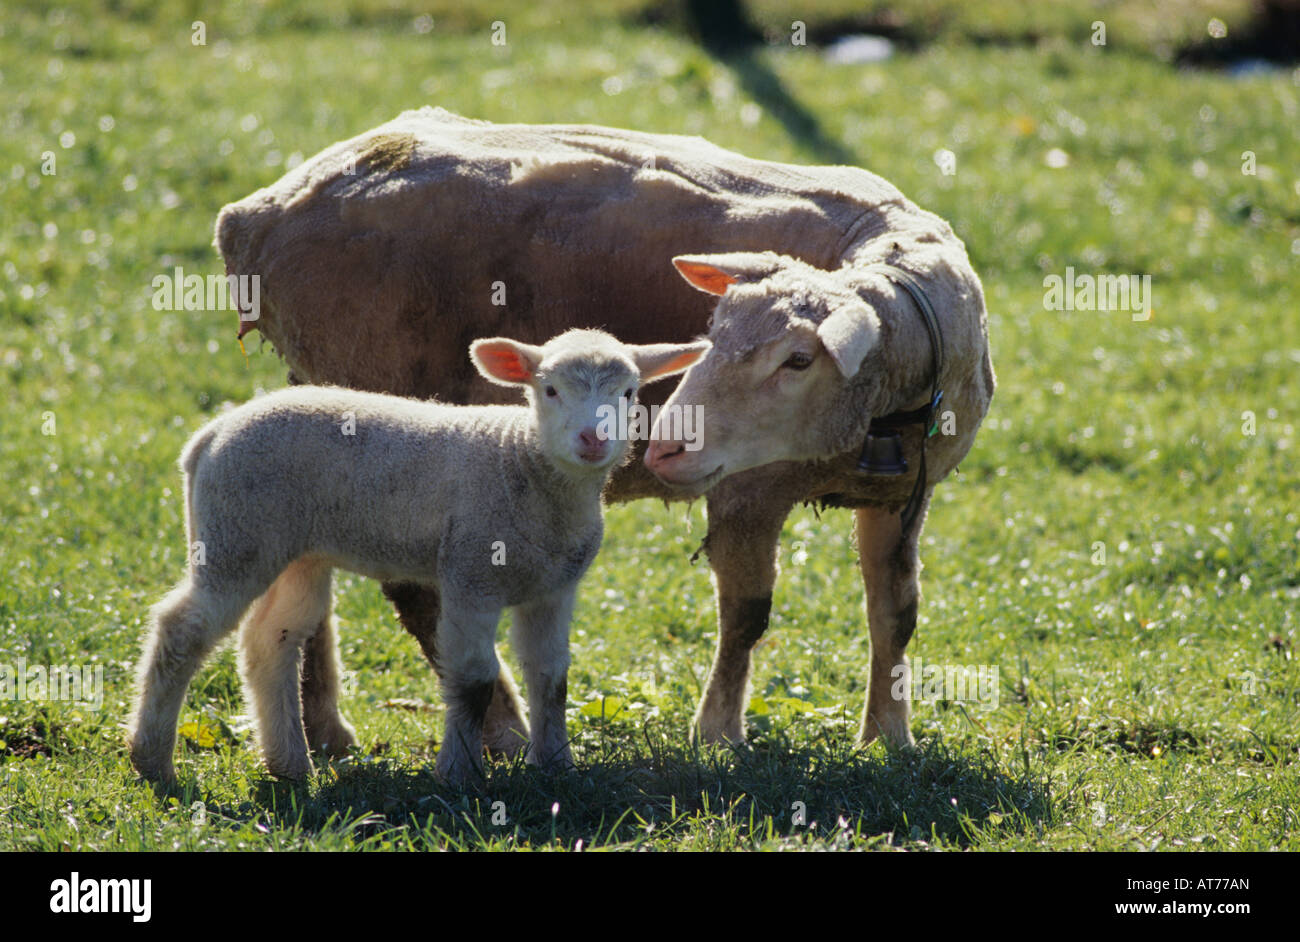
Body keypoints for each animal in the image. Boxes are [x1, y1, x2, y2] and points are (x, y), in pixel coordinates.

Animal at [127, 329, 709, 785]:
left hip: (296, 553)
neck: (523, 461)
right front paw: (459, 773)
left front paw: (557, 765)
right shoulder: (471, 574)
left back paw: (289, 765)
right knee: (183, 628)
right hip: (234, 534)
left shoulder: (553, 588)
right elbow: (474, 680)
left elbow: (551, 676)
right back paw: (153, 761)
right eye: (549, 389)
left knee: (272, 639)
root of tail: (210, 435)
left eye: (628, 392)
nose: (593, 438)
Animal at [215, 107, 995, 752]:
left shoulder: (906, 495)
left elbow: (896, 615)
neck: (884, 413)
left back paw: (325, 729)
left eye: (799, 359)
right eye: (711, 331)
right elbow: (747, 617)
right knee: (413, 595)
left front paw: (889, 738)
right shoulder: (747, 492)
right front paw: (719, 736)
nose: (667, 441)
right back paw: (502, 729)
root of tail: (255, 216)